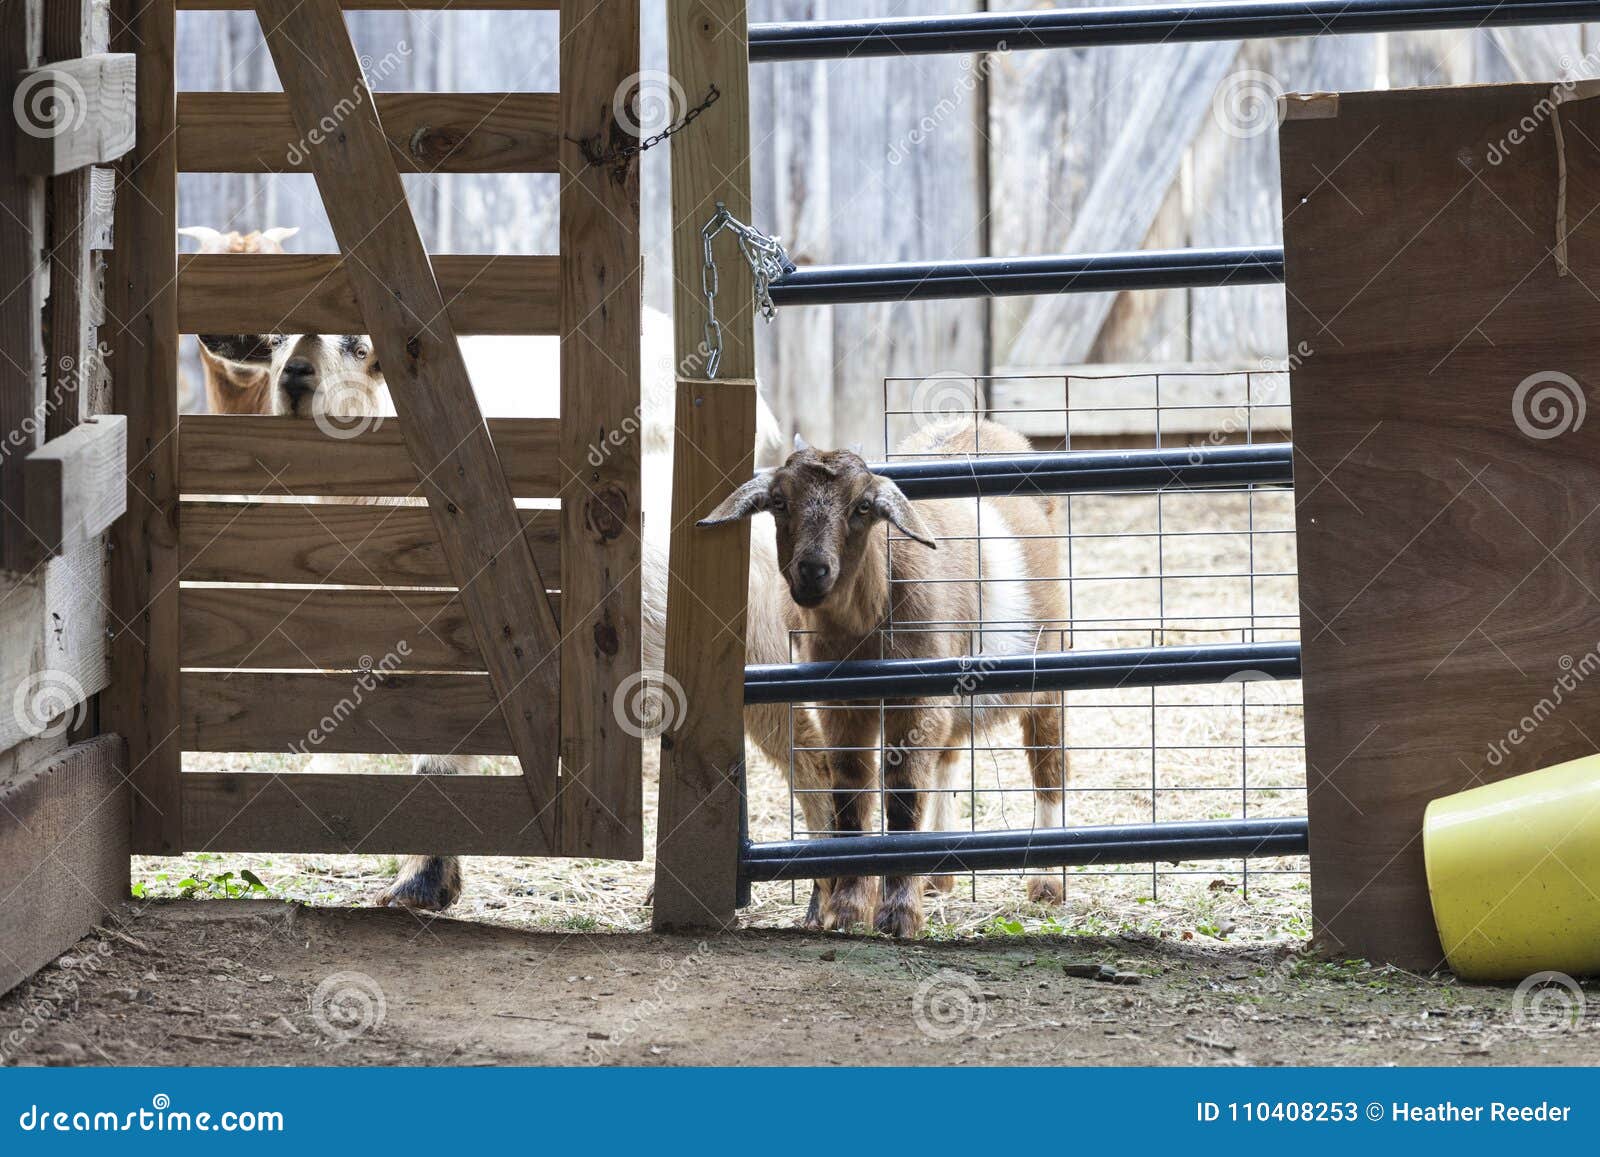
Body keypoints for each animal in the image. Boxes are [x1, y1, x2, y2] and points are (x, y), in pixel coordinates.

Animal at [700, 417, 1071, 938]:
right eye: (779, 501)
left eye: (862, 506)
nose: (812, 570)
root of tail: (977, 423)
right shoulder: (842, 706)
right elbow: (851, 791)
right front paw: (849, 907)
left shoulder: (915, 702)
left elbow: (903, 794)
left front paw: (897, 914)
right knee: (949, 758)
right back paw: (939, 873)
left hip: (1047, 658)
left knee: (1048, 758)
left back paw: (1047, 882)